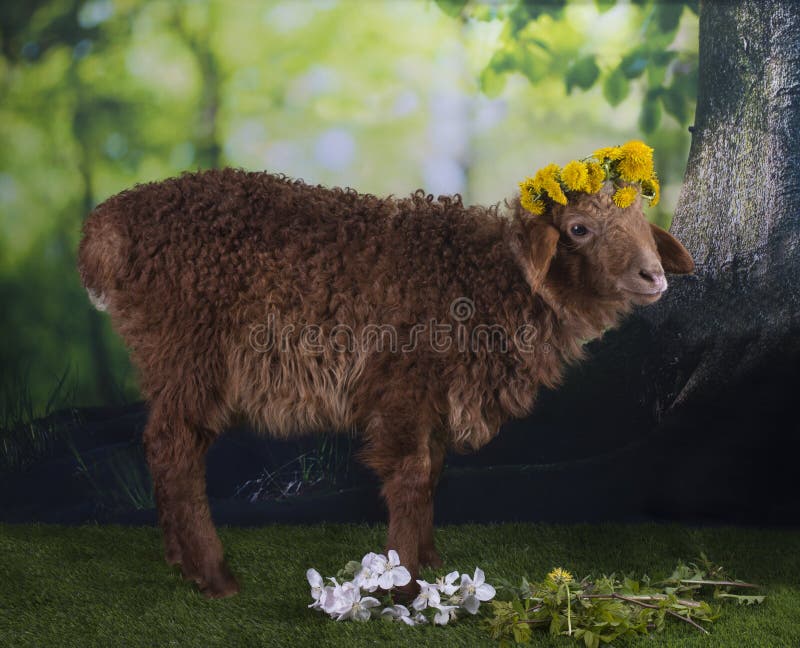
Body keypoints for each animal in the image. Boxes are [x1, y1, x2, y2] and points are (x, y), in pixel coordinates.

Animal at [77, 168, 694, 598]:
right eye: (578, 229)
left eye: (642, 225)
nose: (654, 276)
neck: (482, 279)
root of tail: (106, 228)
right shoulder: (404, 383)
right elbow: (412, 474)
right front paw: (403, 582)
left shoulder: (436, 396)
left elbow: (435, 471)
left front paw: (428, 561)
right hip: (188, 350)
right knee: (175, 446)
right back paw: (214, 575)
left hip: (165, 358)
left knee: (160, 445)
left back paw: (179, 560)